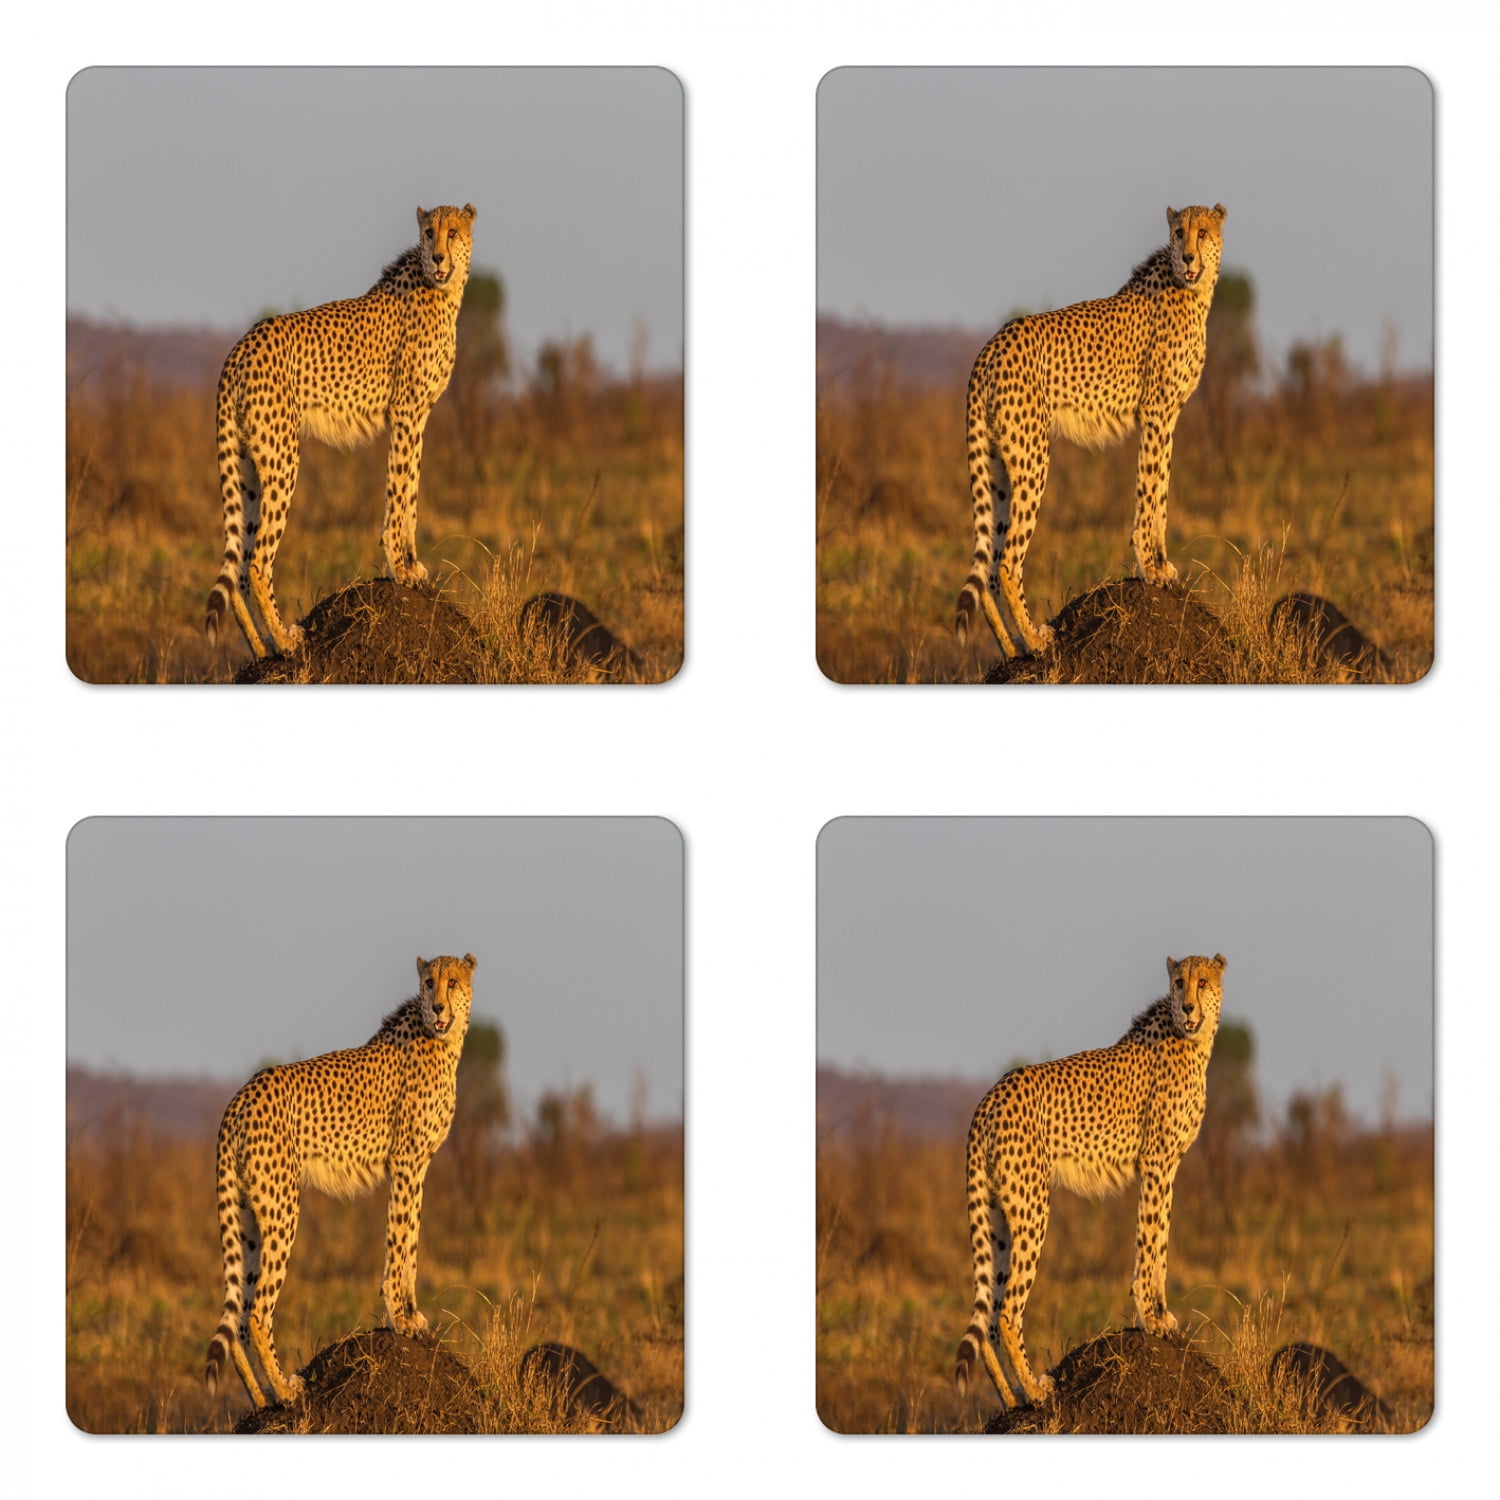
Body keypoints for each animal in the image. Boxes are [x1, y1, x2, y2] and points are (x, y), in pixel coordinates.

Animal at [204, 204, 477, 660]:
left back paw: (263, 648)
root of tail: (242, 343)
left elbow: (412, 493)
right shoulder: (405, 413)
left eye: (452, 231)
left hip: (247, 467)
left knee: (239, 565)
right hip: (282, 459)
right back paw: (286, 639)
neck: (444, 289)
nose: (438, 256)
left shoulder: (419, 417)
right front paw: (400, 568)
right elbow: (398, 492)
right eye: (428, 233)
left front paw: (412, 566)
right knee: (258, 561)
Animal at [204, 953, 477, 1409]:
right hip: (282, 1209)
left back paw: (263, 1397)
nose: (438, 1006)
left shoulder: (419, 1166)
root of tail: (242, 1094)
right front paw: (400, 1319)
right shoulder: (405, 1164)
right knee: (258, 1311)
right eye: (428, 983)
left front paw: (412, 1316)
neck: (444, 1039)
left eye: (452, 981)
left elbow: (412, 1243)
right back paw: (286, 1389)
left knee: (238, 1315)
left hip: (247, 1217)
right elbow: (399, 1242)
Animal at [954, 953, 1227, 1410]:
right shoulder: (1155, 1163)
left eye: (1202, 981)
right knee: (1008, 1311)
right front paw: (1150, 1319)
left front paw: (1162, 1316)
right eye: (1178, 983)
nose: (1188, 1006)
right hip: (1032, 1209)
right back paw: (1036, 1389)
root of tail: (991, 1095)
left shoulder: (1169, 1166)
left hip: (997, 1217)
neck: (1194, 1039)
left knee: (989, 1316)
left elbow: (1162, 1243)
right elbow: (1149, 1241)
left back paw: (1012, 1398)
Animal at [955, 204, 1227, 659]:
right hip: (1032, 459)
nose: (1188, 256)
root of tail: (992, 344)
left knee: (989, 565)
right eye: (1178, 232)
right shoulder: (1155, 414)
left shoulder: (1169, 417)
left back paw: (1013, 647)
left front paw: (1162, 566)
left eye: (1202, 231)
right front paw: (1149, 569)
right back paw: (1036, 639)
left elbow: (1162, 493)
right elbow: (1148, 491)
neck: (1194, 289)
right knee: (1008, 561)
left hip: (997, 468)